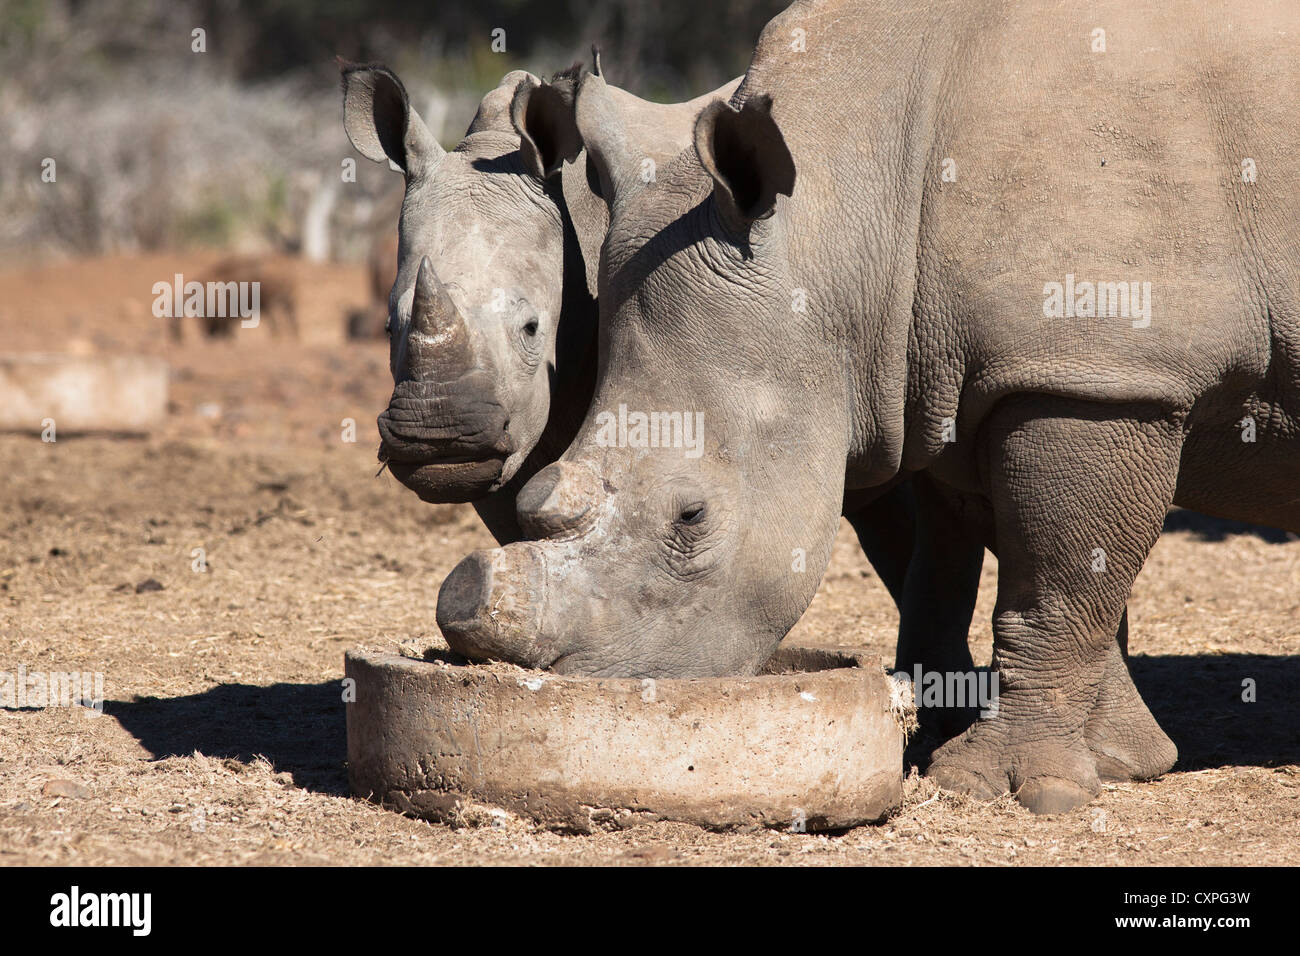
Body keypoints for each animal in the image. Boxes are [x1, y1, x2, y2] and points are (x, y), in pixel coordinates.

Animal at [435, 0, 1300, 813]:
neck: (849, 216)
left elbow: (1051, 580)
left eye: (692, 517)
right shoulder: (986, 376)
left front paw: (1003, 787)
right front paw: (1123, 760)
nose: (580, 680)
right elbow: (994, 562)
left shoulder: (1097, 369)